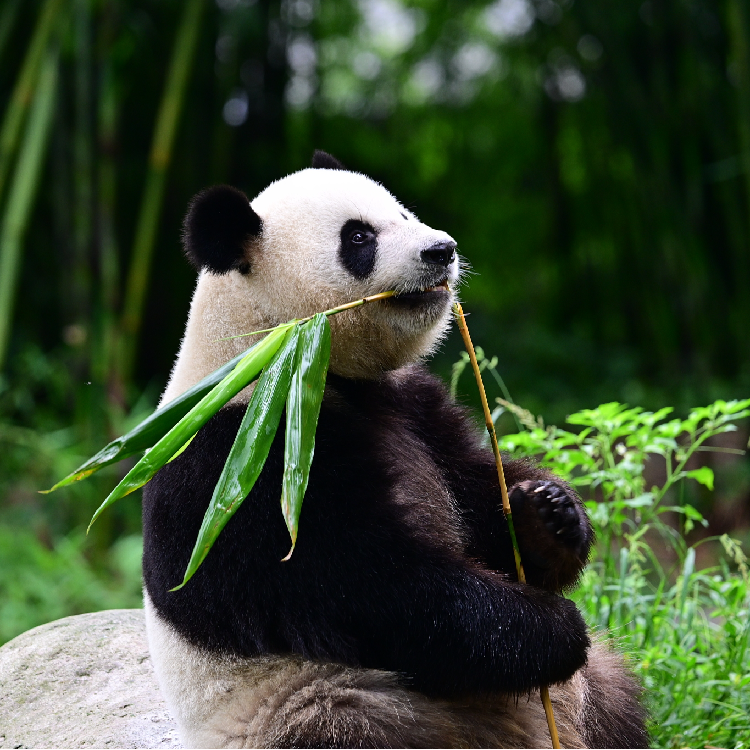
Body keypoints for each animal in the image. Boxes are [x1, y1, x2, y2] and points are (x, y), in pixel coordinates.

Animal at [142, 150, 648, 749]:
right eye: (358, 237)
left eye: (403, 214)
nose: (442, 250)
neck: (284, 348)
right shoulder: (246, 459)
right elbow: (368, 587)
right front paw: (551, 628)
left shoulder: (413, 403)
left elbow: (472, 494)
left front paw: (548, 515)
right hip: (318, 707)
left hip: (582, 700)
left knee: (616, 698)